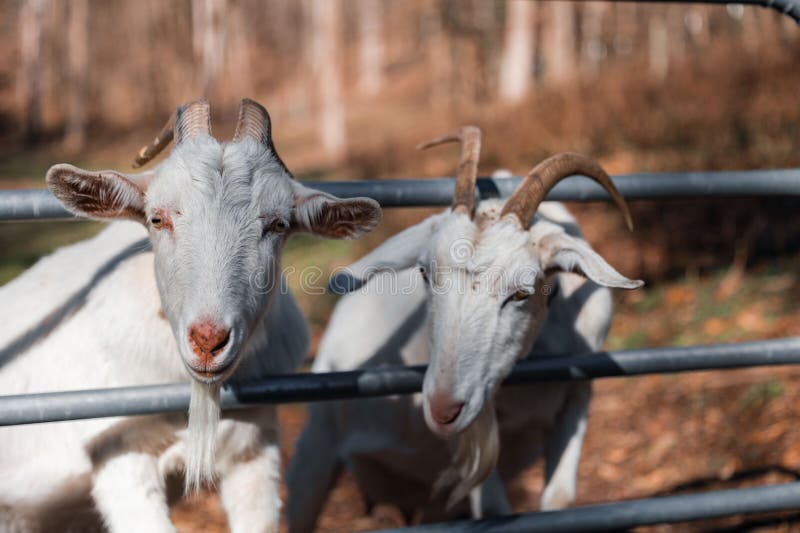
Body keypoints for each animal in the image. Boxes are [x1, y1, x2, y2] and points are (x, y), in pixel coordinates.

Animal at [286, 126, 642, 531]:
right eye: (424, 273)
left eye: (522, 292)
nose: (442, 411)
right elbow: (494, 510)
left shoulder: (578, 393)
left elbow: (560, 499)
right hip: (316, 446)